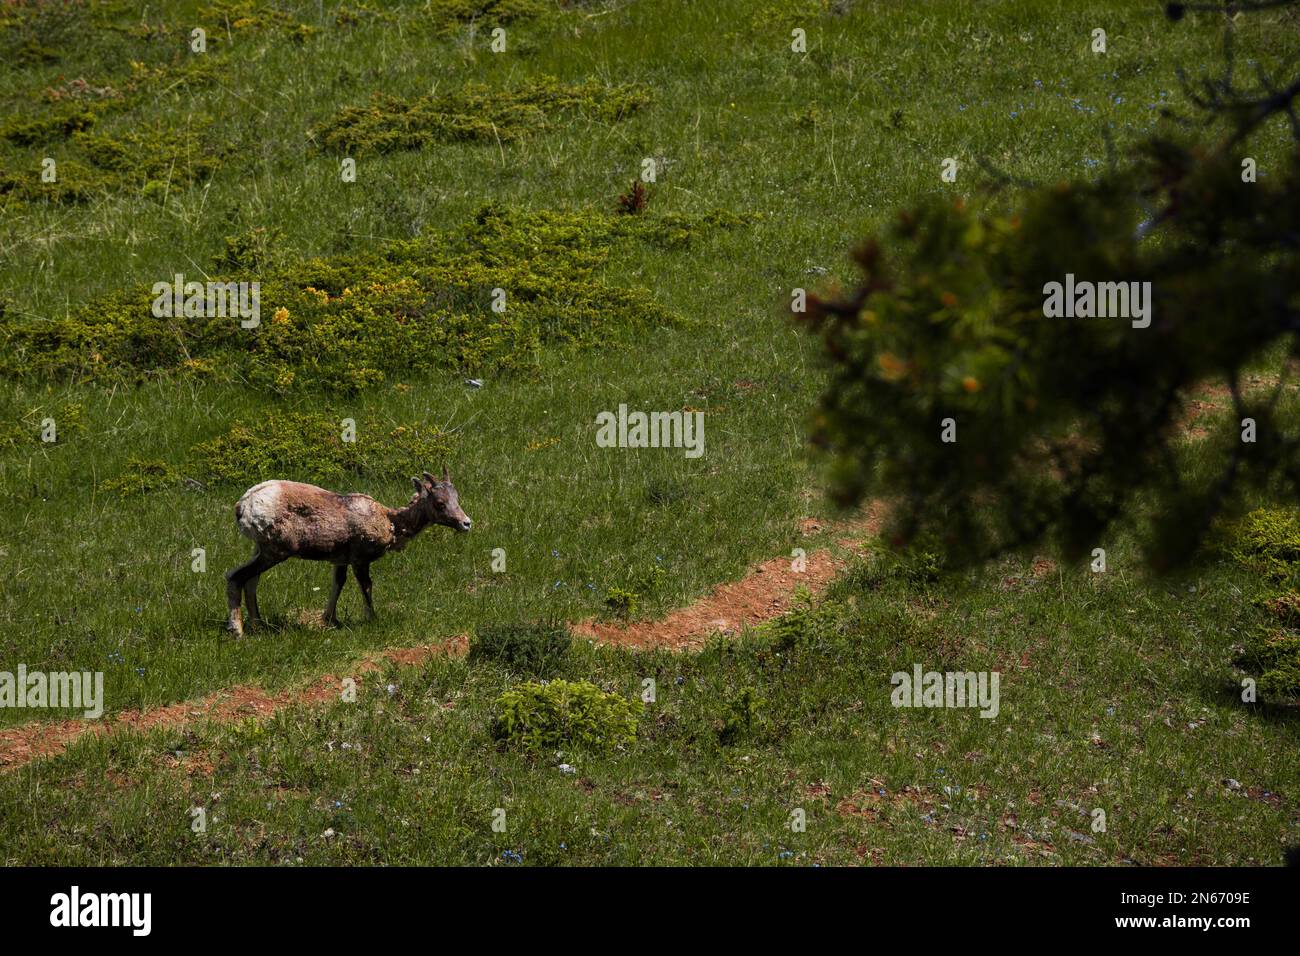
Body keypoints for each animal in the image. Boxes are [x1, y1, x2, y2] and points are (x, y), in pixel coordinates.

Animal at [225, 469, 471, 637]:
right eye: (439, 503)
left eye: (457, 498)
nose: (466, 523)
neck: (390, 521)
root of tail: (242, 506)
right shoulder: (360, 559)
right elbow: (366, 586)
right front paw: (372, 619)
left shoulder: (340, 559)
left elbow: (338, 583)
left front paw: (330, 620)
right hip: (276, 551)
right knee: (236, 577)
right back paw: (239, 632)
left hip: (261, 549)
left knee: (250, 581)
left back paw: (258, 625)